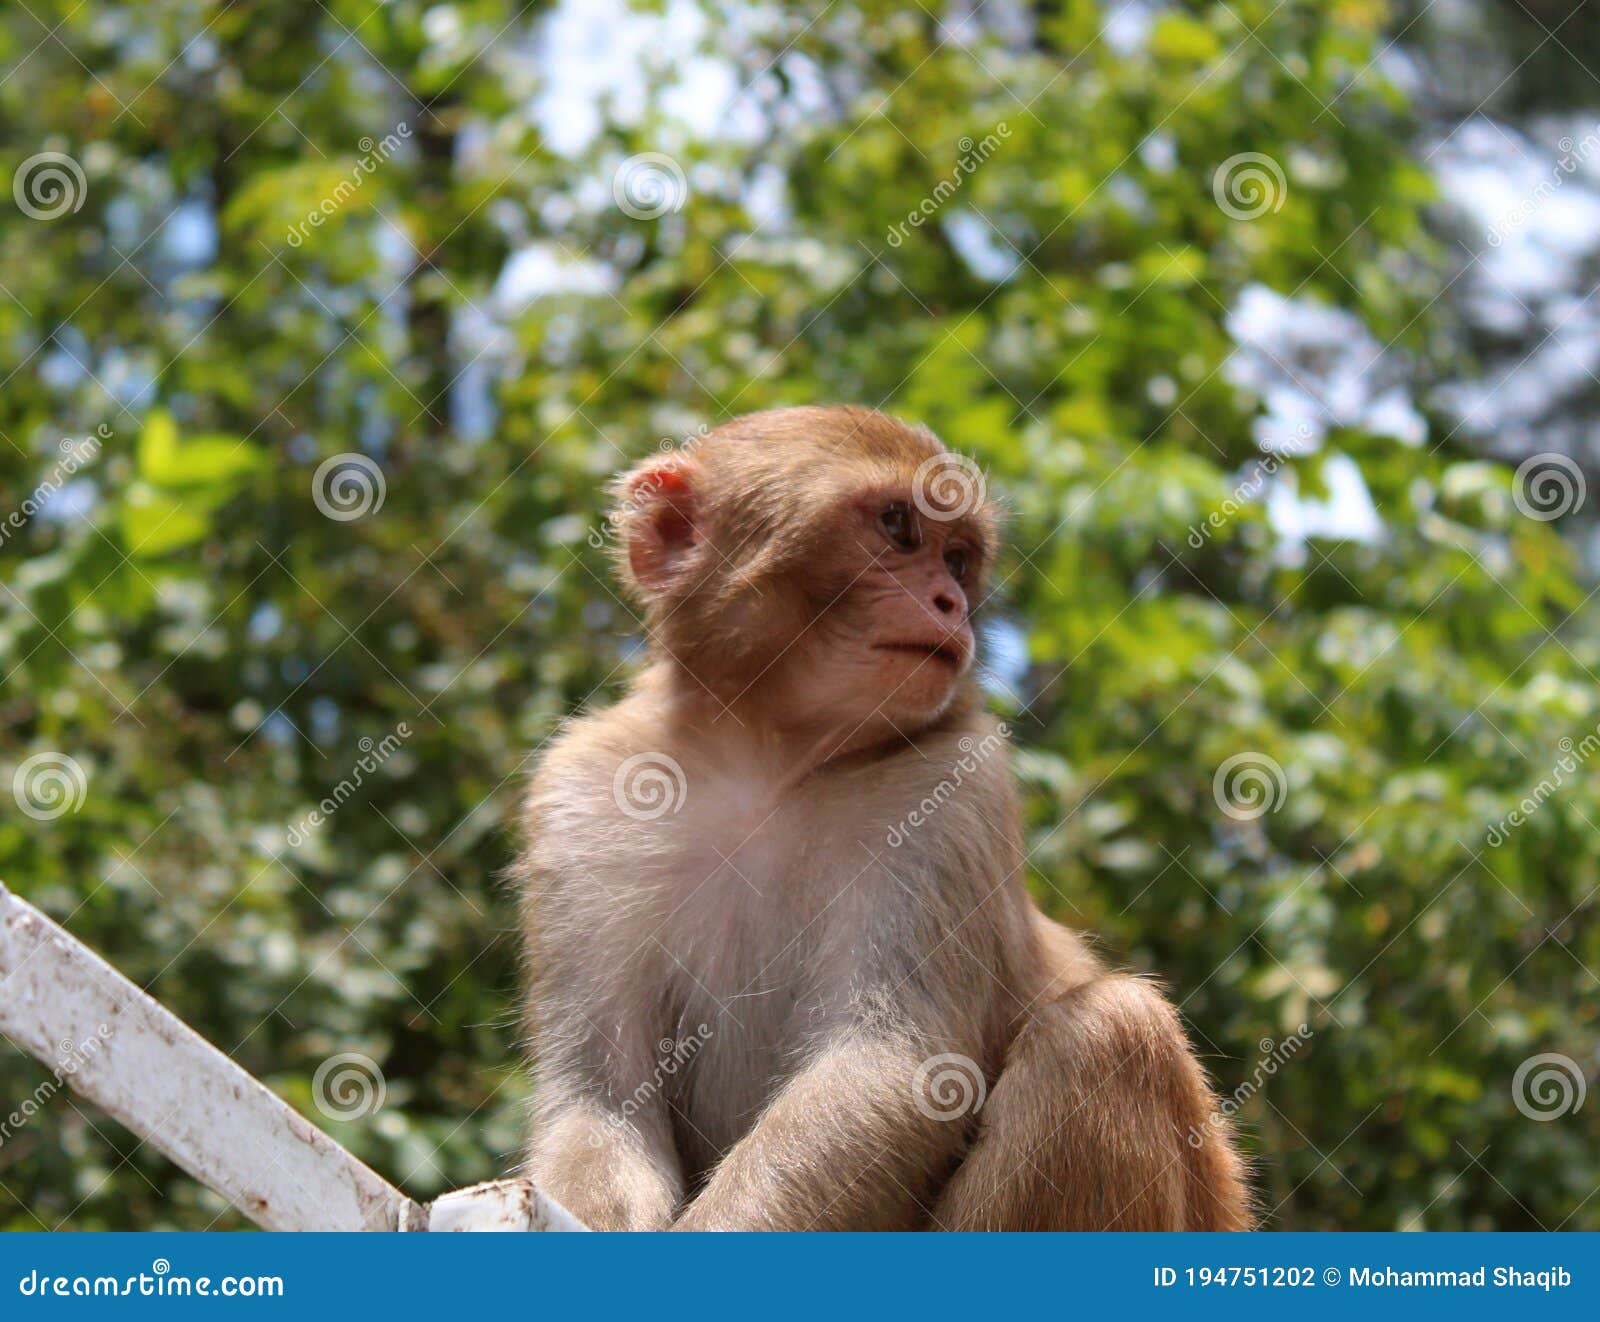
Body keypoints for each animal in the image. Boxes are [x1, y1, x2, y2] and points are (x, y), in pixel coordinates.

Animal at [514, 405, 1252, 1231]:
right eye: (899, 527)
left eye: (958, 558)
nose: (950, 603)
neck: (765, 757)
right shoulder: (578, 799)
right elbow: (599, 1101)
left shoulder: (957, 789)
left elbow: (893, 1066)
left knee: (1109, 1033)